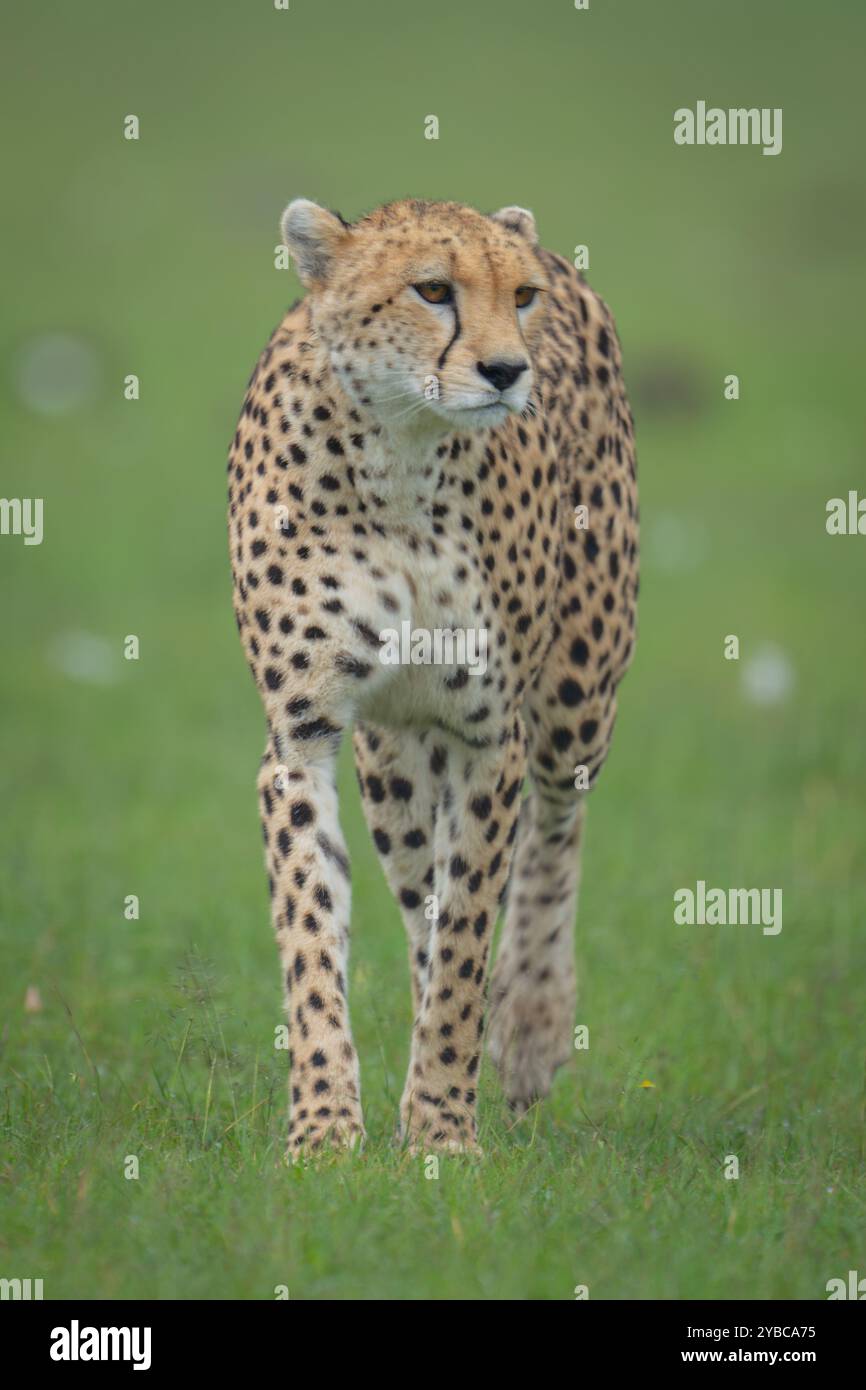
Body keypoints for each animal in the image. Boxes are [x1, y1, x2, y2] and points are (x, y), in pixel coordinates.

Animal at [227, 197, 638, 1156]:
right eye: (432, 291)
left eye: (519, 296)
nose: (506, 371)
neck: (399, 455)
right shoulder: (302, 738)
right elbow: (315, 933)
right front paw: (326, 1130)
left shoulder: (492, 737)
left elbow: (469, 937)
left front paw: (446, 1132)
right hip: (393, 758)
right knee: (425, 897)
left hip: (578, 692)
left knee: (552, 831)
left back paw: (527, 1028)